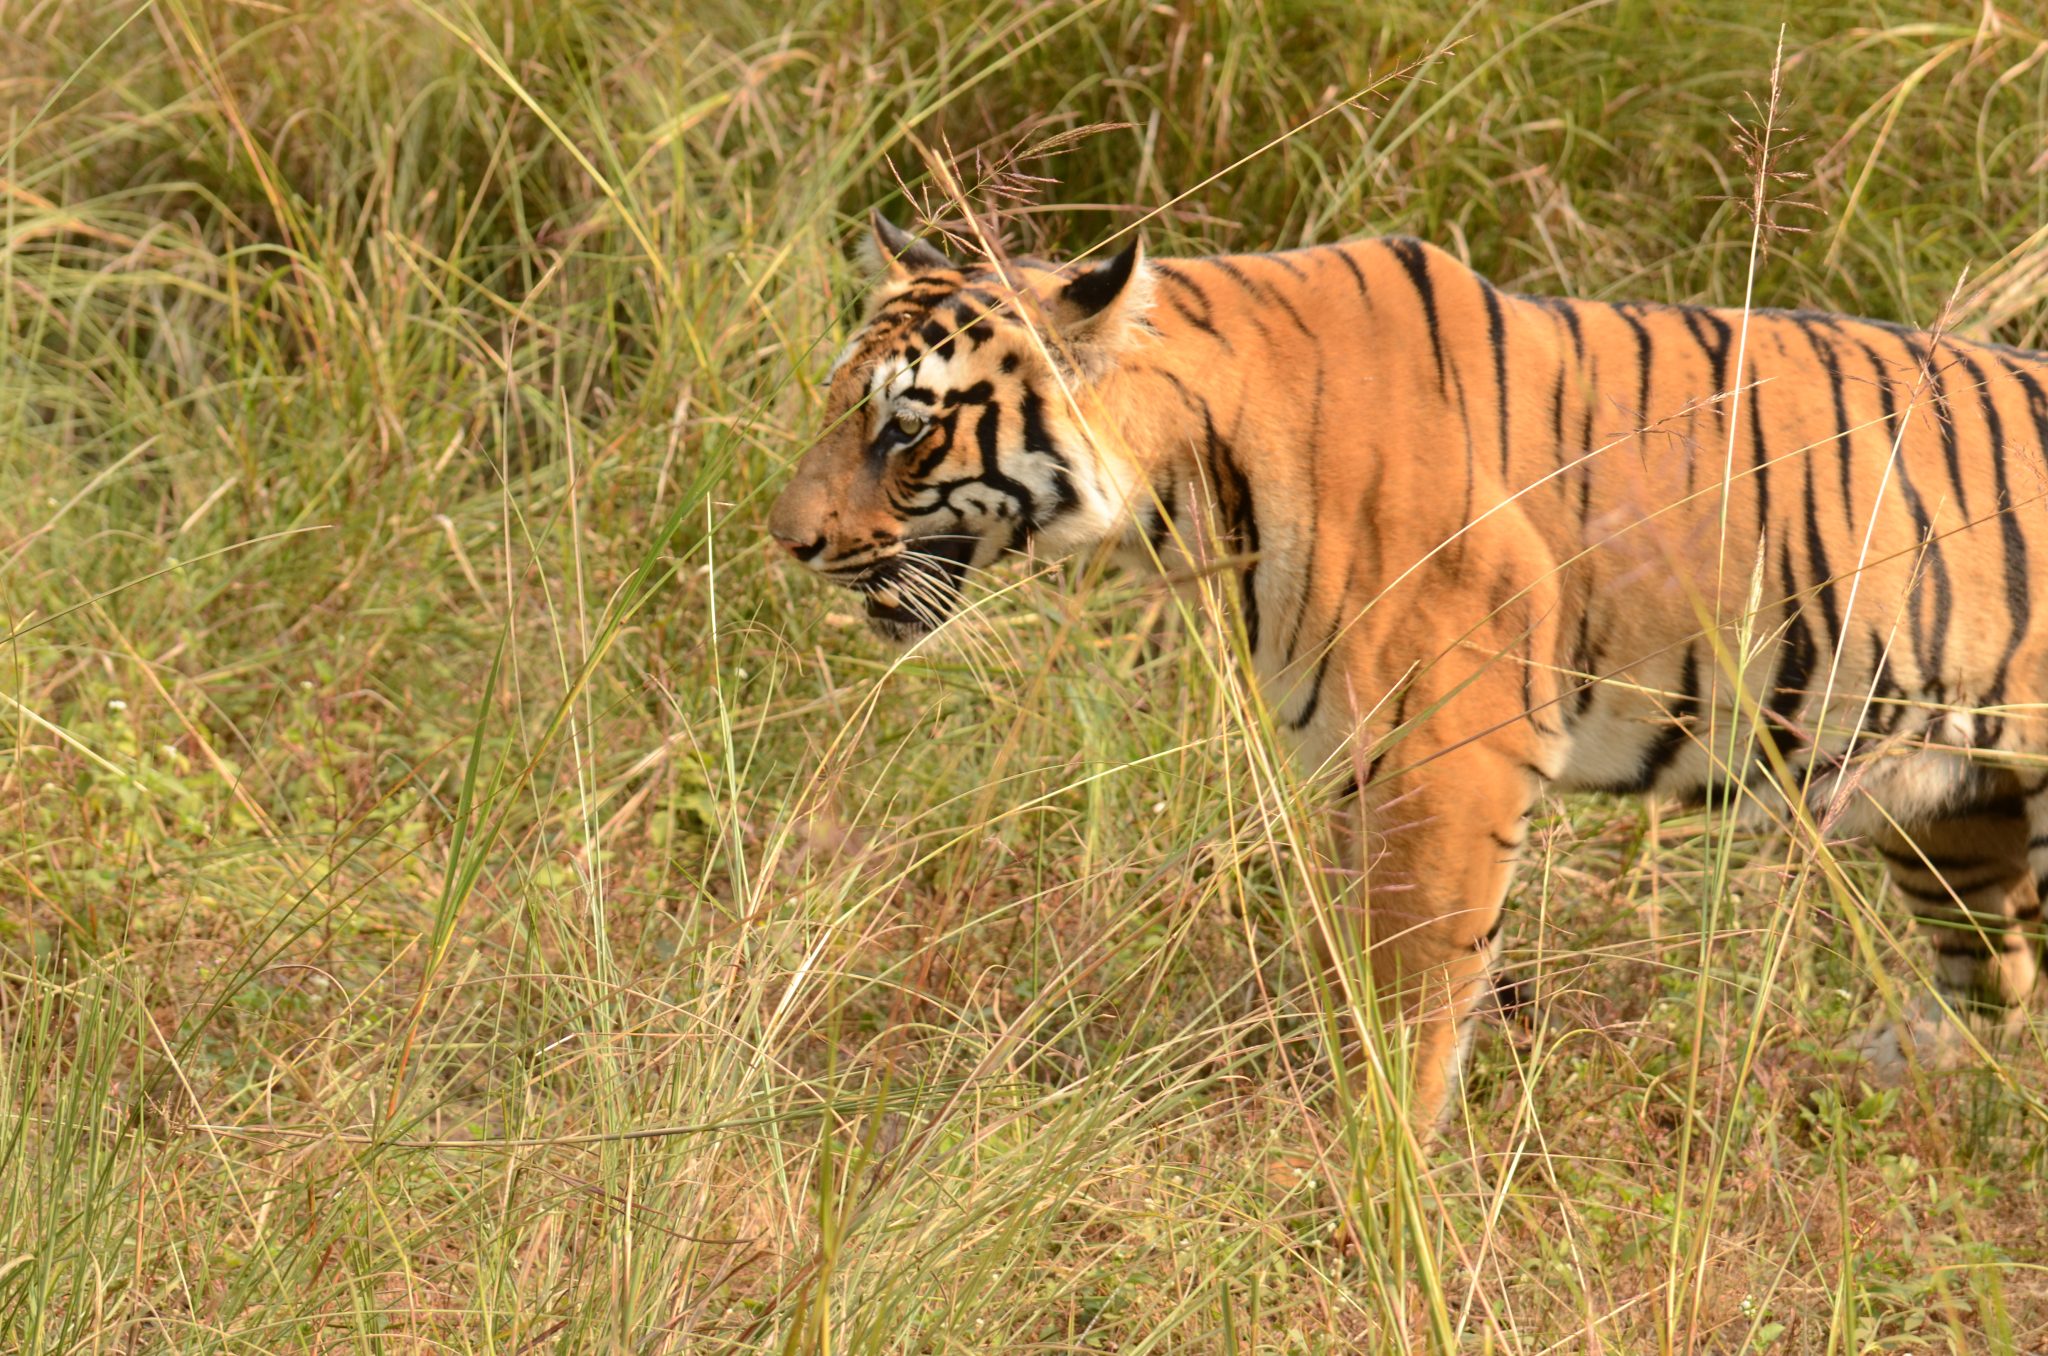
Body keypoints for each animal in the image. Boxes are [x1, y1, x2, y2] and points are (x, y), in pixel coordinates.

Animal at [767, 212, 2048, 1133]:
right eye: (836, 406)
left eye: (906, 428)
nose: (787, 541)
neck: (1190, 490)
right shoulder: (1347, 757)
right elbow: (1353, 955)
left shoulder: (1446, 749)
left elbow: (1418, 975)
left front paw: (1381, 1152)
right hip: (1945, 808)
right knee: (1993, 973)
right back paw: (1868, 1090)